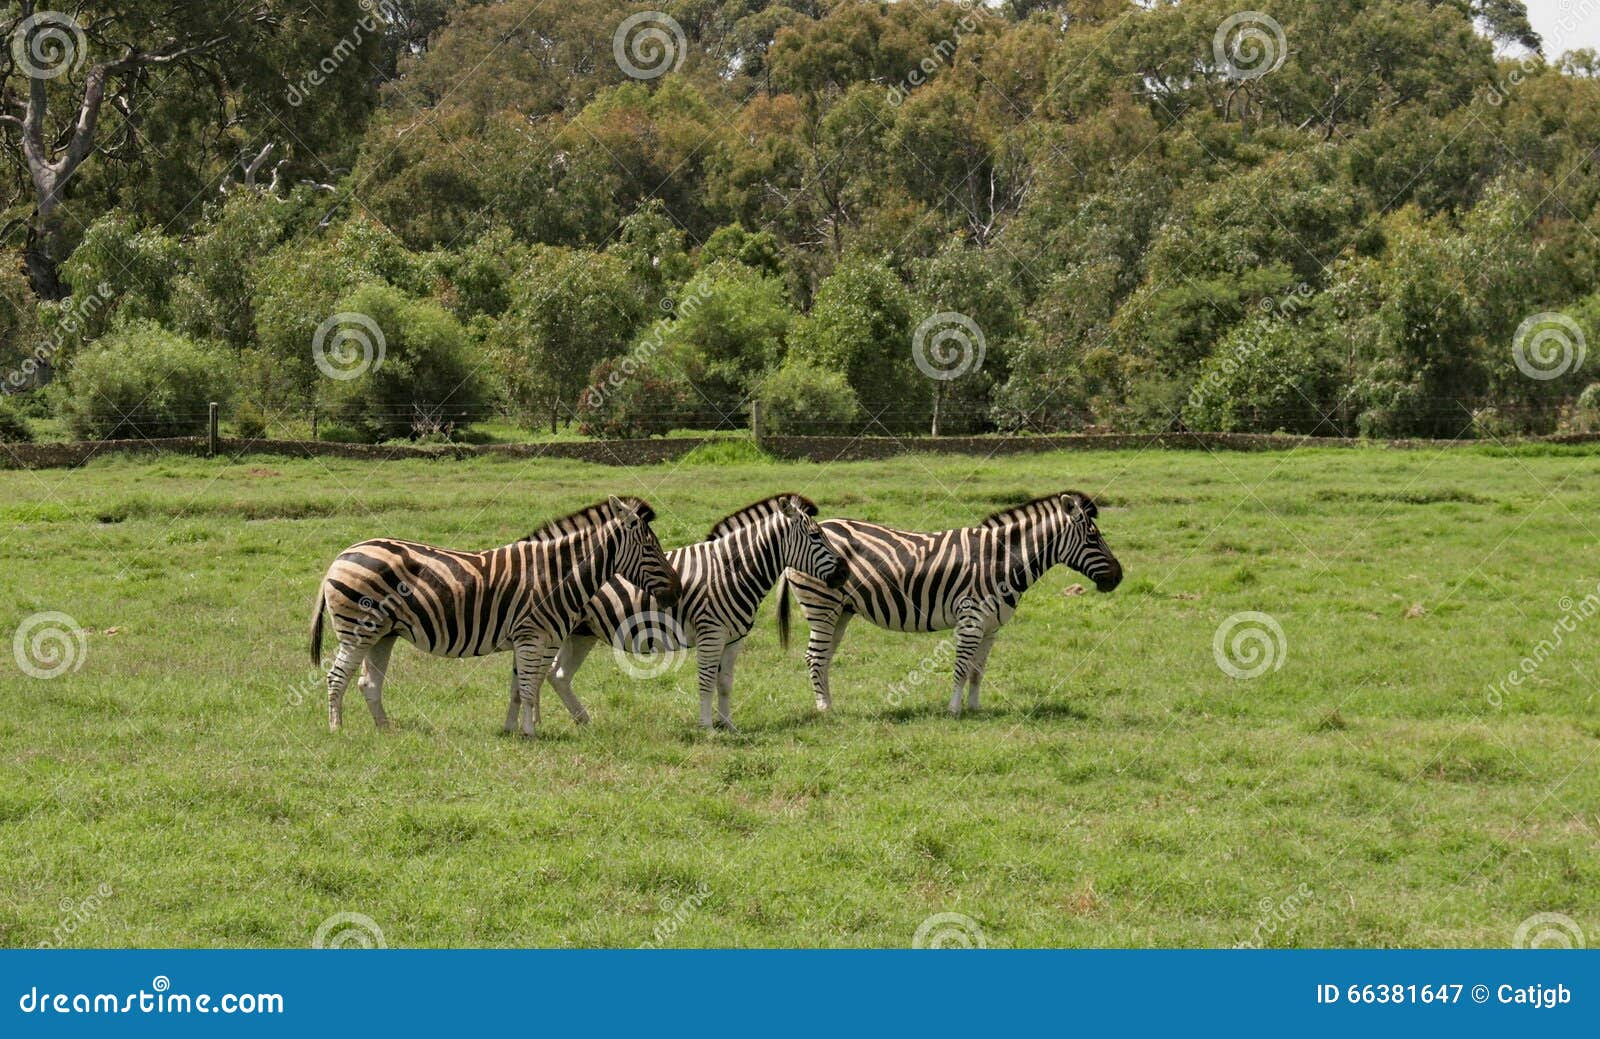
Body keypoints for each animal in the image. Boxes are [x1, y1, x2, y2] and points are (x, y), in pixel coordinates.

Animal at [309, 495, 681, 735]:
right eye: (651, 548)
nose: (677, 591)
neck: (556, 576)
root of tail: (342, 555)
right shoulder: (533, 637)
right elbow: (529, 689)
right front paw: (531, 734)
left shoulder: (530, 638)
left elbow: (519, 689)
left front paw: (511, 730)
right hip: (359, 628)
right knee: (336, 677)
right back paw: (336, 729)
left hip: (383, 634)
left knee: (368, 682)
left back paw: (386, 731)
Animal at [542, 493, 847, 730]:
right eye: (816, 536)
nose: (844, 572)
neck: (731, 571)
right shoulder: (710, 634)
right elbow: (706, 680)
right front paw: (707, 728)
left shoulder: (734, 639)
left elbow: (724, 682)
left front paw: (728, 725)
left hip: (581, 633)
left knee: (558, 674)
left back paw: (583, 720)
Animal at [777, 491, 1122, 716]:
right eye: (1093, 538)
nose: (1118, 577)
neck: (1000, 560)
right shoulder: (971, 619)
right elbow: (960, 667)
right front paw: (954, 710)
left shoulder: (991, 627)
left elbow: (978, 670)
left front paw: (975, 708)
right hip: (821, 606)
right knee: (814, 657)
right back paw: (824, 708)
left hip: (841, 612)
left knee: (824, 657)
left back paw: (830, 703)